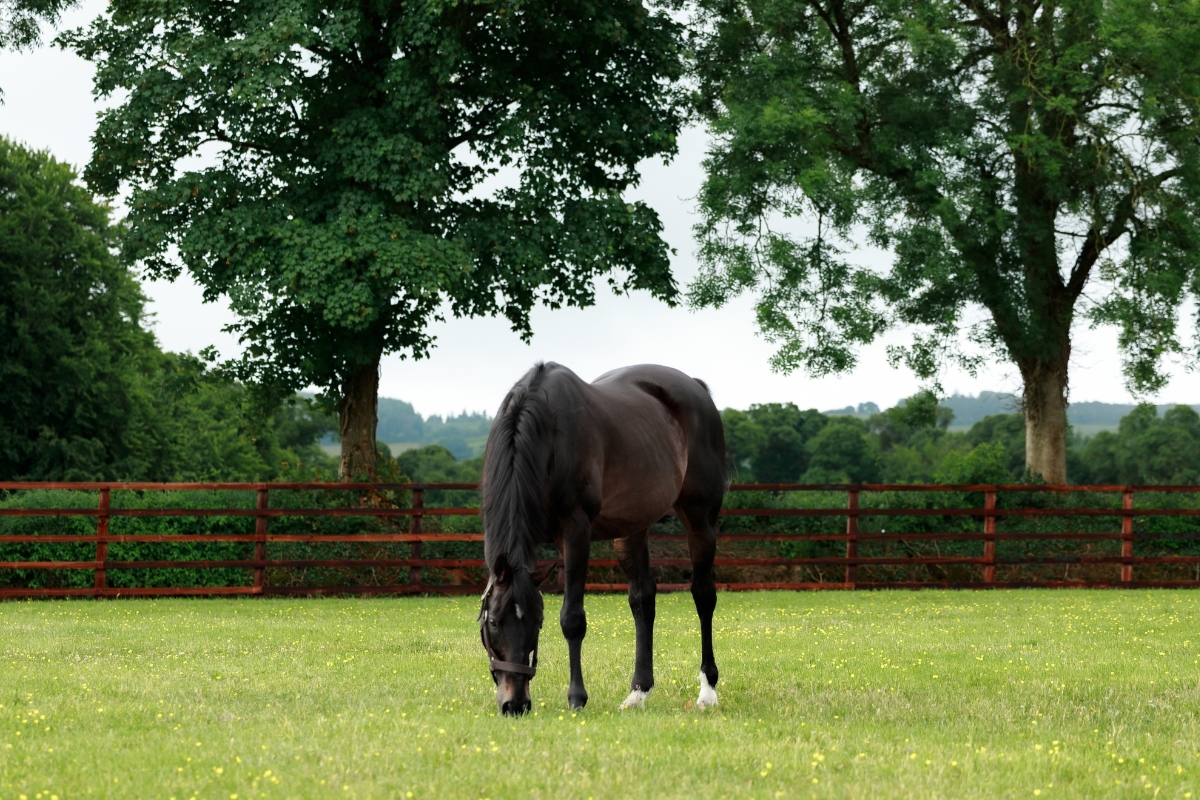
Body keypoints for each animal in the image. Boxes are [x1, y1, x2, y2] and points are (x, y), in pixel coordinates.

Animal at [477, 362, 727, 715]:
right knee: (642, 599)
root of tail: (695, 387)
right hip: (633, 526)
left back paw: (707, 690)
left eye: (537, 622)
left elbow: (572, 618)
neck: (545, 429)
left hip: (700, 519)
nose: (515, 704)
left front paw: (577, 697)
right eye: (494, 623)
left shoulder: (575, 531)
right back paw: (638, 692)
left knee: (703, 595)